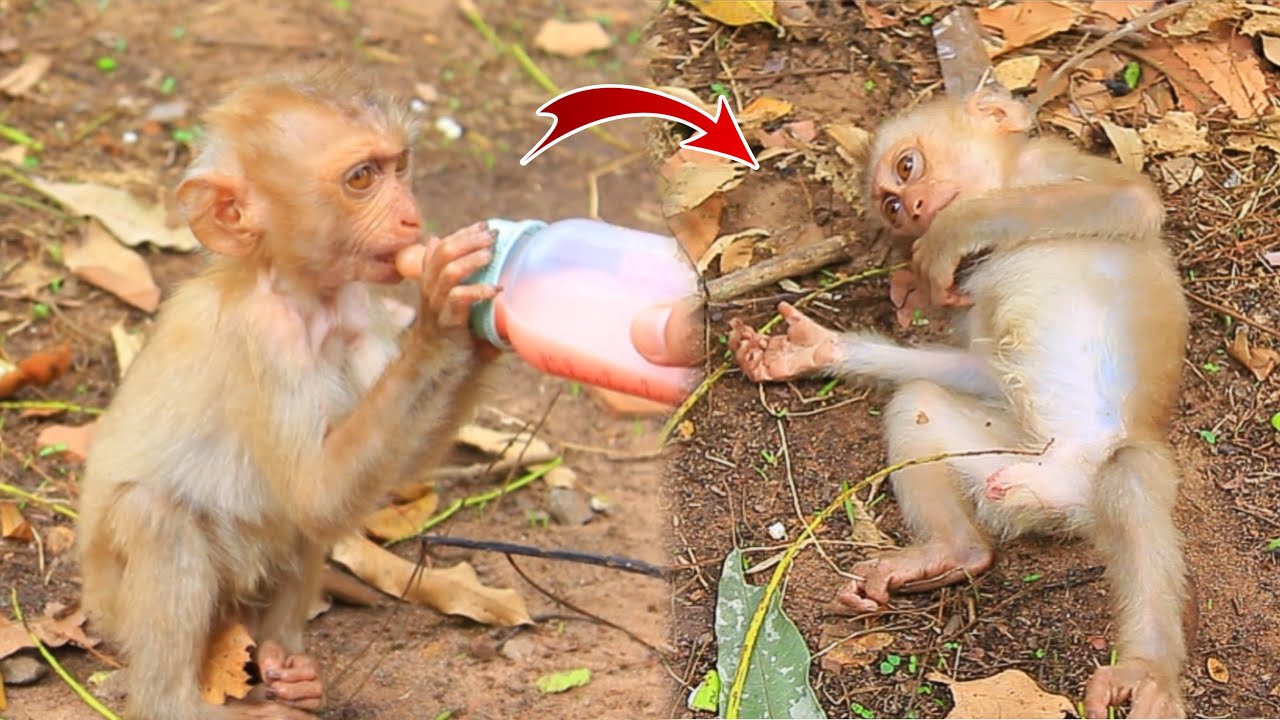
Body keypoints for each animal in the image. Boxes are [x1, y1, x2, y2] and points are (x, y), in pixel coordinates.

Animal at [76, 72, 500, 720]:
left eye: (399, 166)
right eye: (361, 179)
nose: (411, 219)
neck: (302, 294)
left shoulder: (357, 304)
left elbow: (373, 484)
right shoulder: (263, 337)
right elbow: (315, 493)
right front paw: (443, 310)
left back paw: (288, 670)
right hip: (114, 602)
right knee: (157, 515)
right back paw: (179, 701)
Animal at [728, 88, 1191, 718]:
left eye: (907, 167)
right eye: (892, 207)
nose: (914, 208)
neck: (1010, 176)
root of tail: (1059, 492)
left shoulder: (1057, 169)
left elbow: (1129, 199)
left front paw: (947, 234)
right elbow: (977, 371)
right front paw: (811, 349)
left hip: (1099, 465)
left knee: (1132, 476)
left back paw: (1148, 672)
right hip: (1006, 462)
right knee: (918, 403)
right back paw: (951, 552)